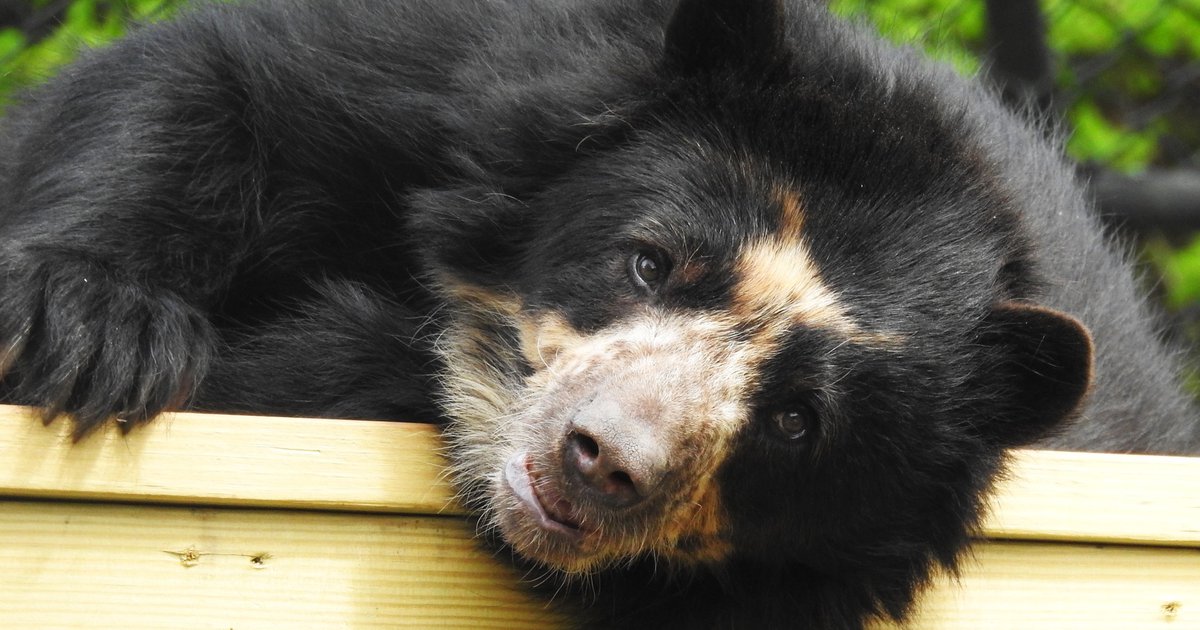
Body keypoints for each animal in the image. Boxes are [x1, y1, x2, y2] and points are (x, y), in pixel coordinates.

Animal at [0, 0, 1196, 627]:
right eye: (650, 262)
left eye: (797, 422)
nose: (604, 463)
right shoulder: (455, 75)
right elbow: (218, 85)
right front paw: (91, 326)